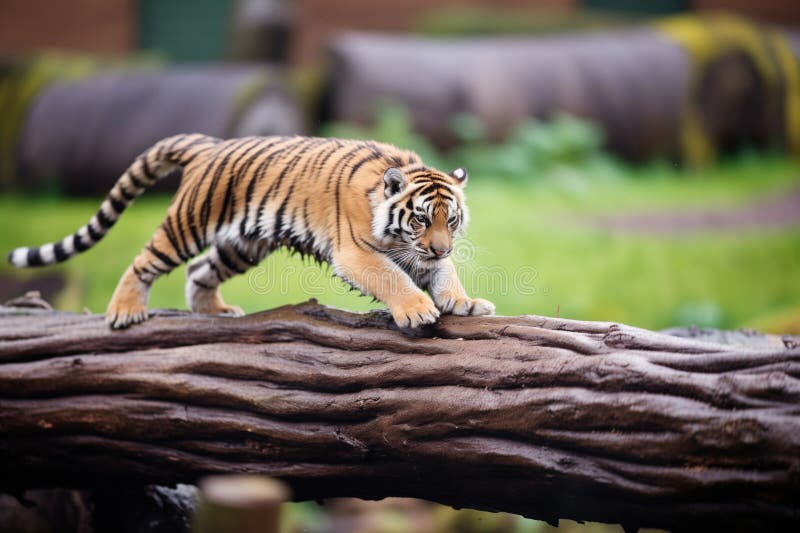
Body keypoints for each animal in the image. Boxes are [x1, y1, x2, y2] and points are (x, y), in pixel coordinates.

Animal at [7, 134, 495, 329]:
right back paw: (126, 310)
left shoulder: (426, 253)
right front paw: (417, 310)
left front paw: (465, 302)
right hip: (188, 225)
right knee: (144, 261)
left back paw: (216, 312)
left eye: (450, 220)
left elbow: (446, 275)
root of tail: (208, 146)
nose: (440, 247)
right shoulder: (357, 252)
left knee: (199, 273)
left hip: (243, 244)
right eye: (420, 219)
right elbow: (393, 278)